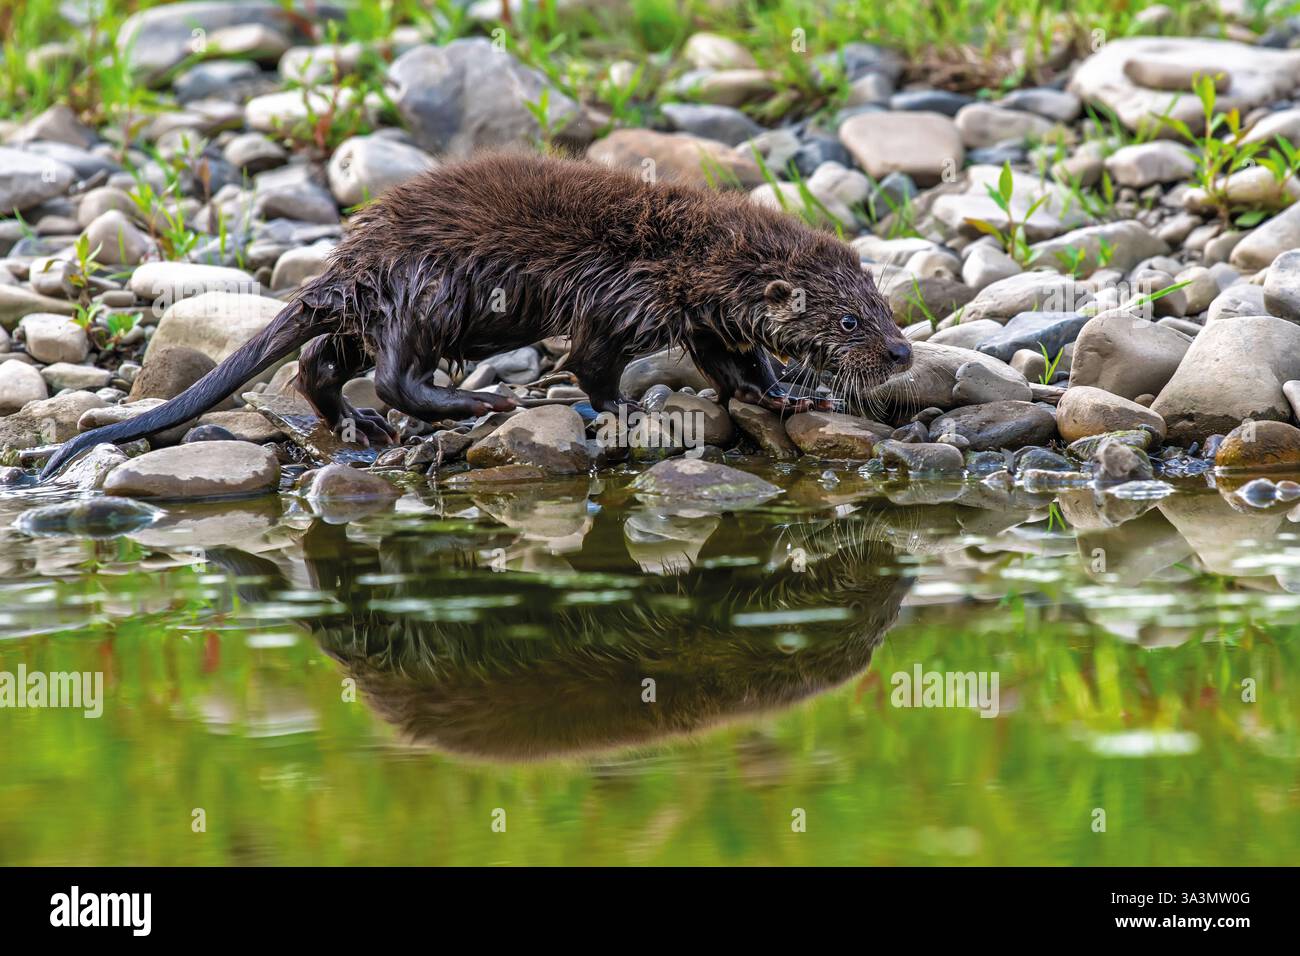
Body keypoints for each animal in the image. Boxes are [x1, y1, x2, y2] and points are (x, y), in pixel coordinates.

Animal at [41, 150, 912, 478]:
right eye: (849, 325)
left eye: (884, 307)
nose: (903, 356)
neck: (687, 253)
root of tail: (351, 261)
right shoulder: (623, 296)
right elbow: (592, 361)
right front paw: (626, 410)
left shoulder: (698, 314)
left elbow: (736, 363)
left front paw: (789, 392)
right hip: (428, 290)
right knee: (395, 373)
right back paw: (479, 403)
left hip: (374, 311)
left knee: (321, 363)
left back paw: (358, 425)